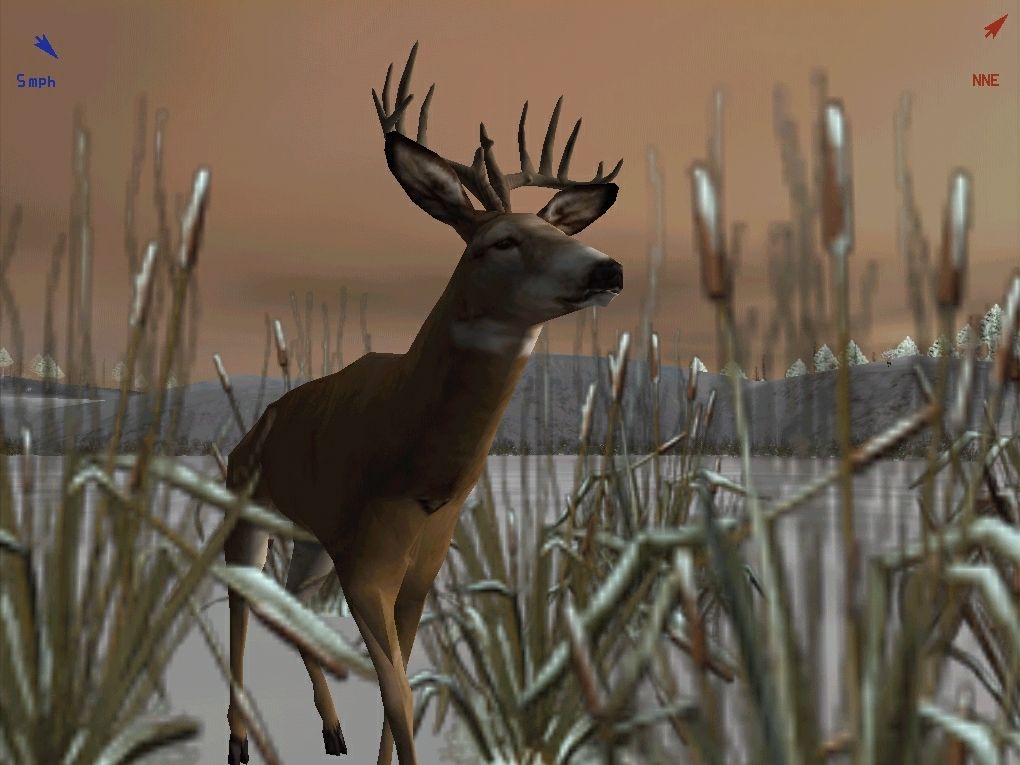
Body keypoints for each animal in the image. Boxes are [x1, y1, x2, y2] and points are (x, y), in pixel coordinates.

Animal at [222, 42, 623, 765]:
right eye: (500, 241)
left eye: (556, 228)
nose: (607, 268)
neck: (422, 476)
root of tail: (254, 430)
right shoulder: (365, 564)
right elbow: (400, 694)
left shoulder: (420, 566)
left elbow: (399, 686)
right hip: (248, 505)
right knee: (242, 594)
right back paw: (239, 740)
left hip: (310, 535)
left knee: (290, 600)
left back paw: (332, 733)